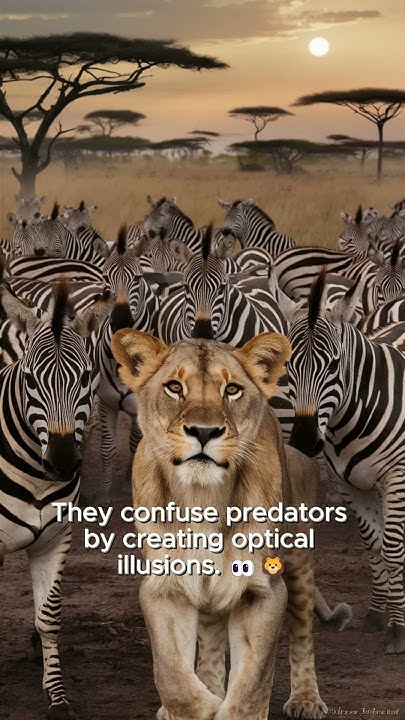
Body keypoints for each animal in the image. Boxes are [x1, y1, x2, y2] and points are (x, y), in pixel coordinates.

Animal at [0, 282, 113, 717]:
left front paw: (58, 696)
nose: (63, 461)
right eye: (31, 380)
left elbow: (49, 617)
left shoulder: (55, 539)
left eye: (84, 377)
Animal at [284, 269, 405, 653]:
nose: (305, 439)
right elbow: (374, 543)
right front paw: (379, 613)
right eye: (288, 364)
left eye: (335, 364)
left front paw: (398, 629)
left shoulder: (397, 476)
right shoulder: (350, 483)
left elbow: (393, 547)